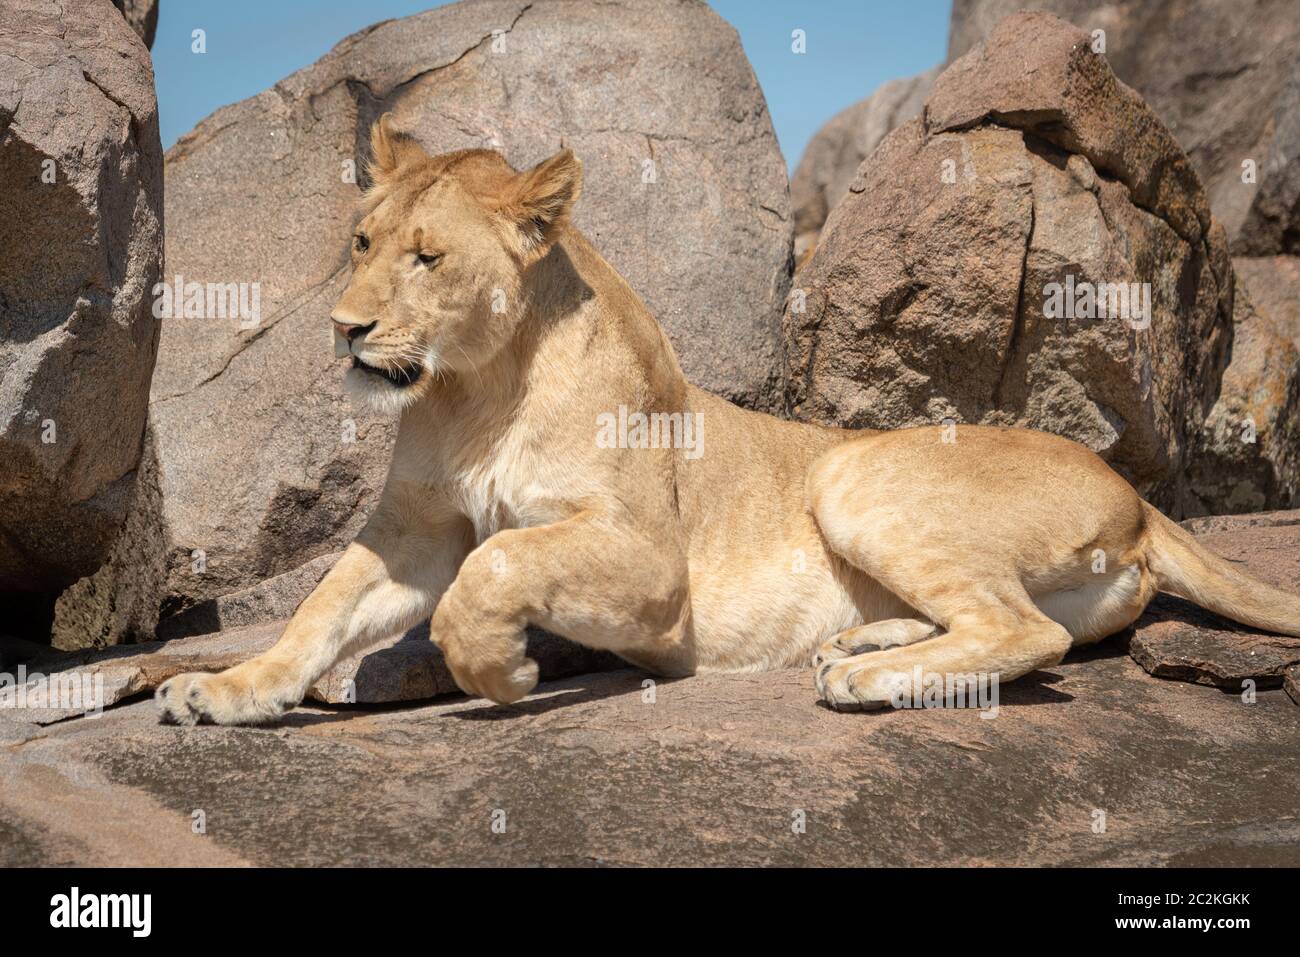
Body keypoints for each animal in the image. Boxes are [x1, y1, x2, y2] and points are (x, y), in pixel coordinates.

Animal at [157, 116, 1300, 724]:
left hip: (853, 474)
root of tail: (1138, 499)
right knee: (1011, 623)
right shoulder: (411, 531)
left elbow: (496, 565)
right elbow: (320, 611)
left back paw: (867, 677)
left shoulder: (652, 567)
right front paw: (229, 690)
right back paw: (861, 642)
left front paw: (500, 671)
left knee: (1026, 632)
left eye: (427, 257)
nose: (345, 330)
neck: (470, 391)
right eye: (360, 242)